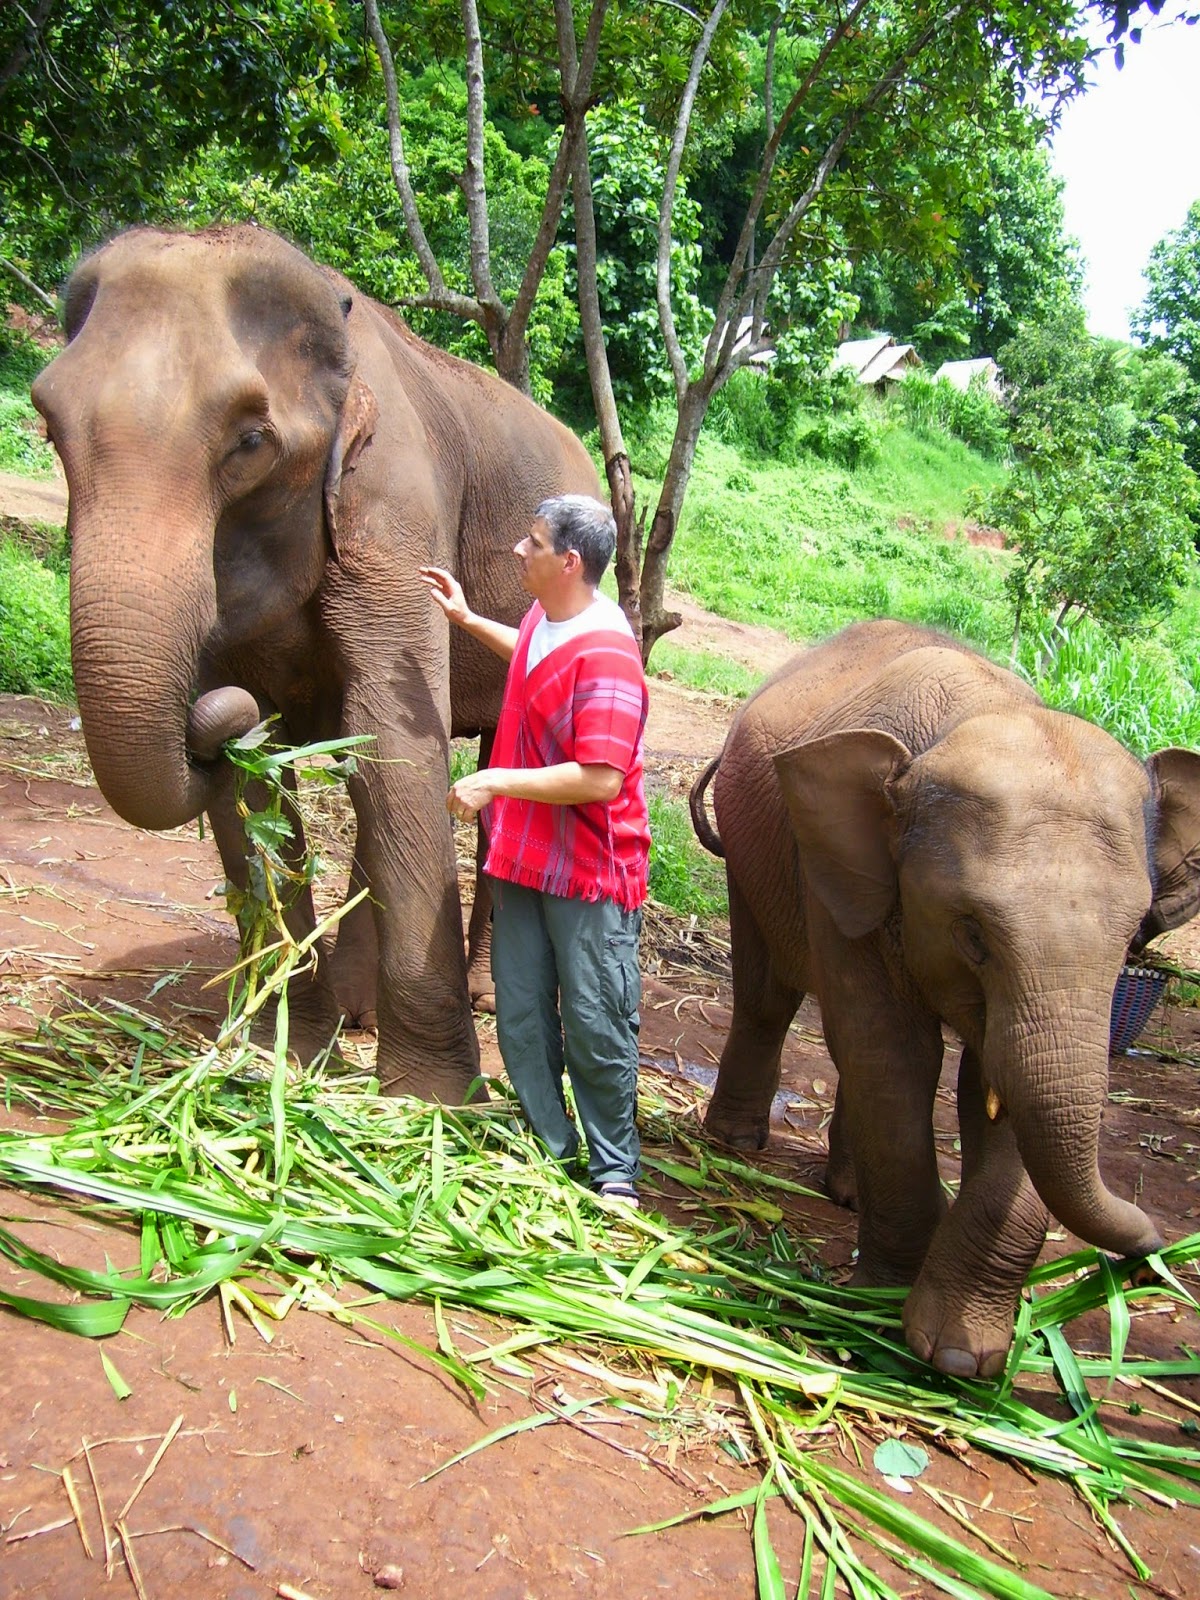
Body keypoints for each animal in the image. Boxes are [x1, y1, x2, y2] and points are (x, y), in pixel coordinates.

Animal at [31, 224, 600, 1101]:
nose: (204, 718)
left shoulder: (394, 509)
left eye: (250, 441)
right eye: (50, 428)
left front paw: (432, 1102)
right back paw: (357, 1009)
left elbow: (393, 739)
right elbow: (269, 769)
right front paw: (283, 1052)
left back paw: (478, 995)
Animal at [689, 619, 1200, 1379]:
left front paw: (962, 1357)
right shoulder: (842, 874)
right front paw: (884, 1310)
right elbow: (893, 1051)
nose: (1148, 1257)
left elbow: (995, 1085)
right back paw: (736, 1142)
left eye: (1134, 935)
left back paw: (846, 1192)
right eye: (972, 931)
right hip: (756, 855)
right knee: (770, 995)